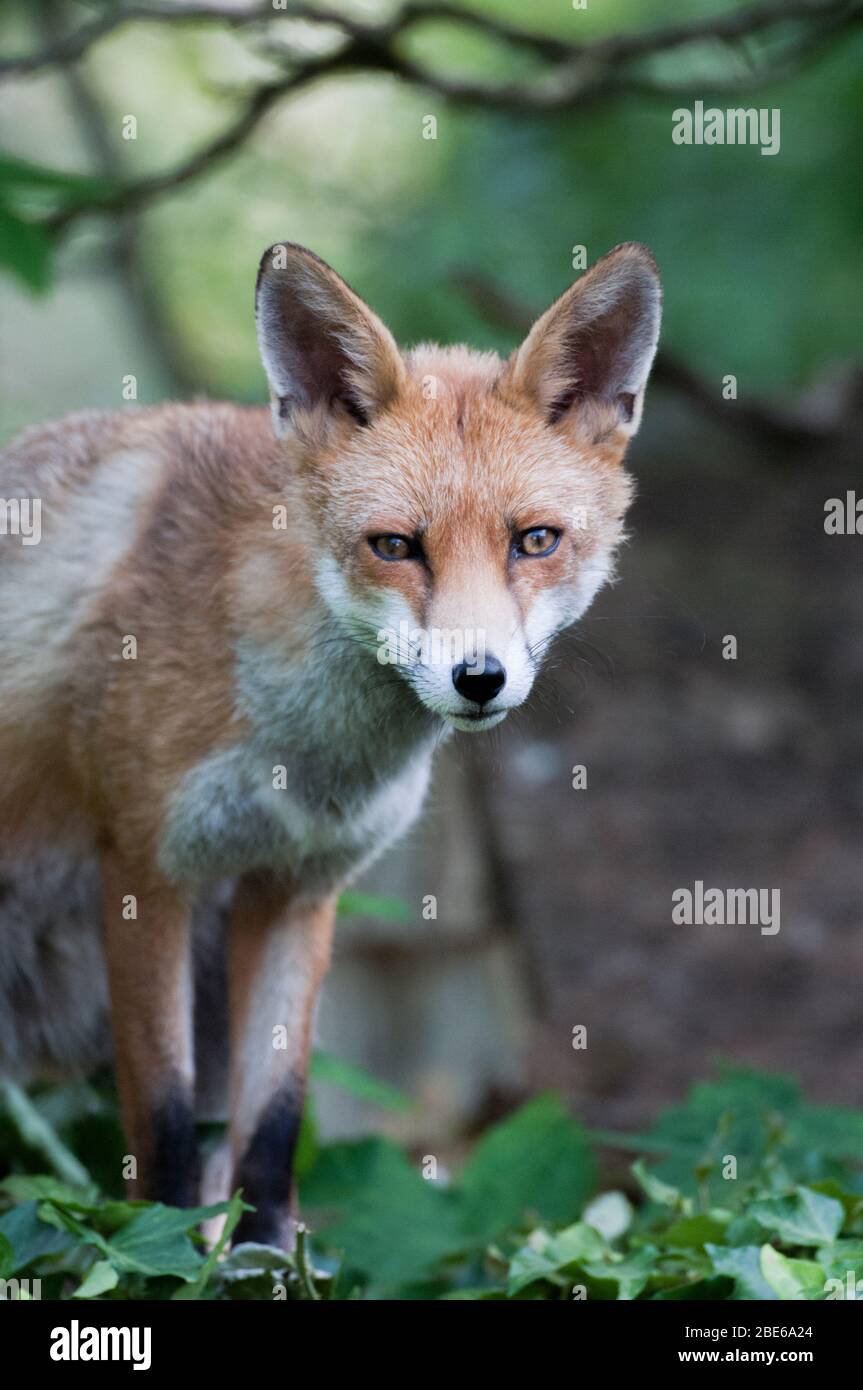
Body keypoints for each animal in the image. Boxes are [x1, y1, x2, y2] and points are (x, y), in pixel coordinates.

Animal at [0, 240, 661, 1247]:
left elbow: (272, 1123)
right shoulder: (148, 872)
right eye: (394, 546)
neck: (301, 752)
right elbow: (164, 1128)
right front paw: (164, 1255)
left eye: (534, 540)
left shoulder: (299, 888)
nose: (478, 678)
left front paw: (260, 1257)